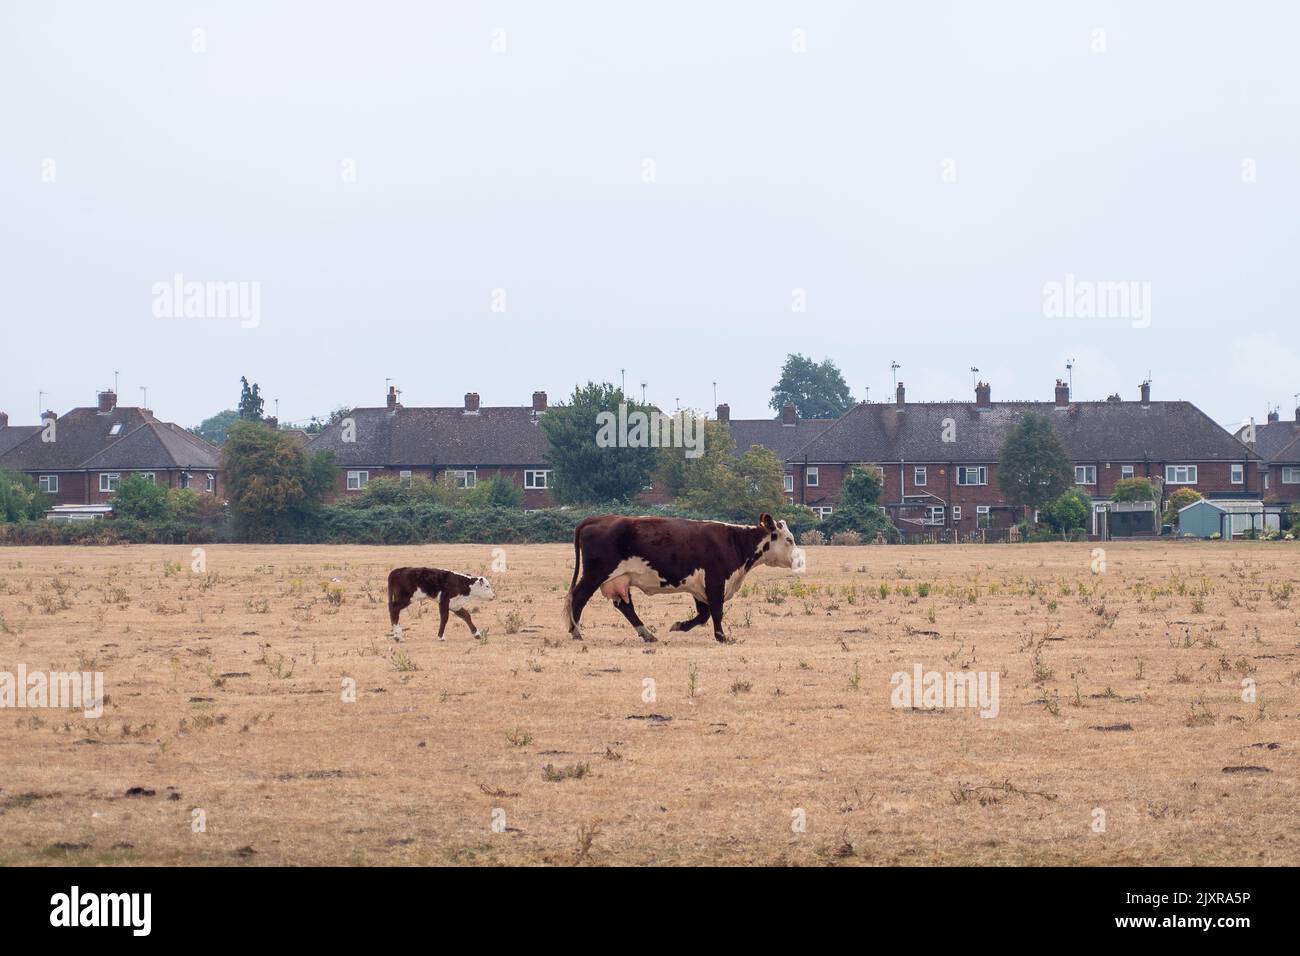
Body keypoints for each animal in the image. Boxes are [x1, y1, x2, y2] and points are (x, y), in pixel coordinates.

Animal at [562, 513, 805, 643]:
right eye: (789, 539)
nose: (799, 560)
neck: (733, 541)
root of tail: (597, 518)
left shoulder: (698, 586)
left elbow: (703, 614)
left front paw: (679, 625)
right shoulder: (715, 581)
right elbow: (716, 611)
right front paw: (721, 636)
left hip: (619, 579)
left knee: (625, 607)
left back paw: (647, 634)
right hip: (595, 574)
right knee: (578, 598)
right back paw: (575, 632)